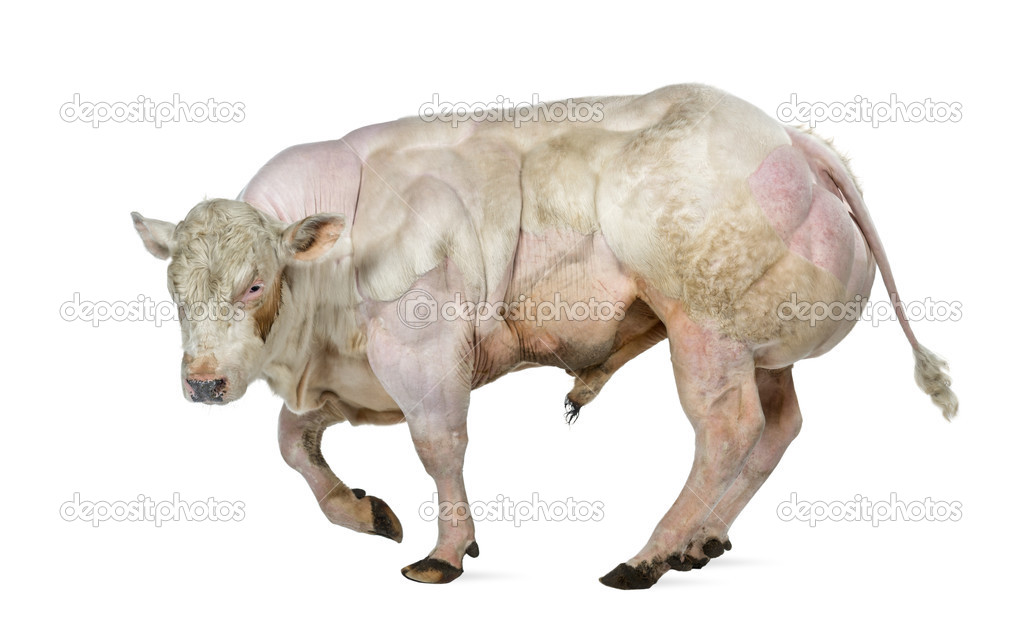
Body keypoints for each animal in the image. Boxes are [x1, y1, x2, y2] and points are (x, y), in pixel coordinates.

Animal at [132, 84, 957, 589]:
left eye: (255, 283)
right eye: (173, 292)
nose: (203, 383)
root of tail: (793, 140)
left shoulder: (424, 360)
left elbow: (440, 449)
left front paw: (444, 553)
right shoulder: (347, 379)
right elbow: (291, 444)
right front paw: (363, 511)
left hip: (704, 330)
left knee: (727, 430)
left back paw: (648, 556)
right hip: (763, 347)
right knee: (778, 426)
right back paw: (701, 540)